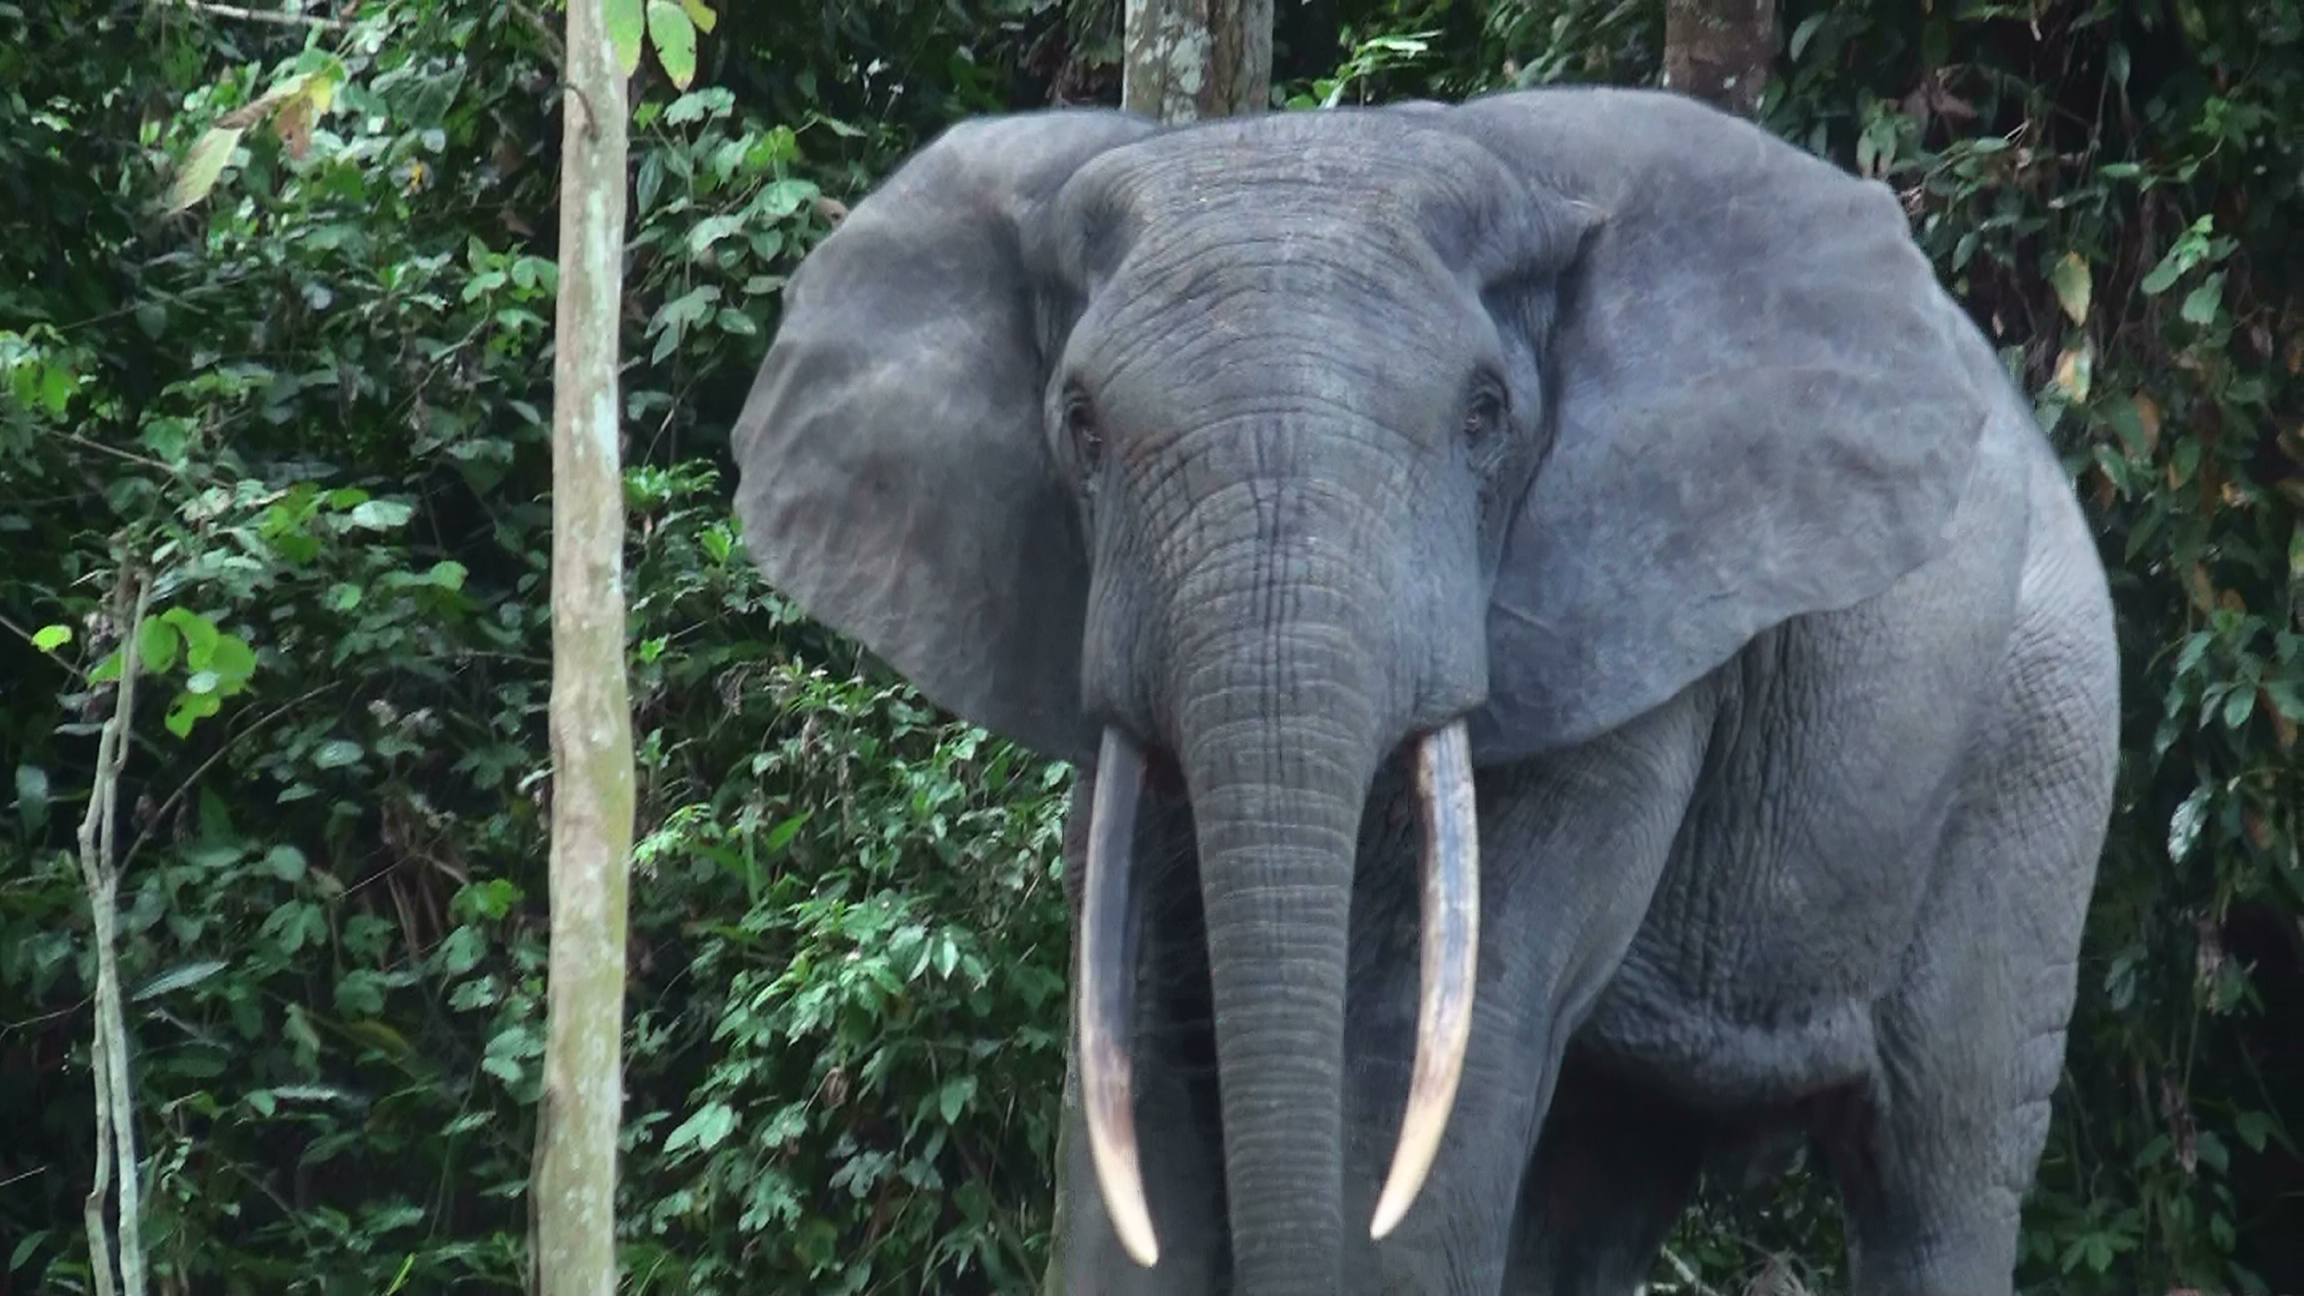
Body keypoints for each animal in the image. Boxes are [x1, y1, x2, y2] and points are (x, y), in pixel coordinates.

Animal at [727, 85, 2122, 1296]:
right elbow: (1150, 1033)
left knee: (1938, 1170)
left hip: (2038, 753)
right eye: (1080, 425)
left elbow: (1421, 1046)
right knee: (1604, 1173)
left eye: (1484, 416)